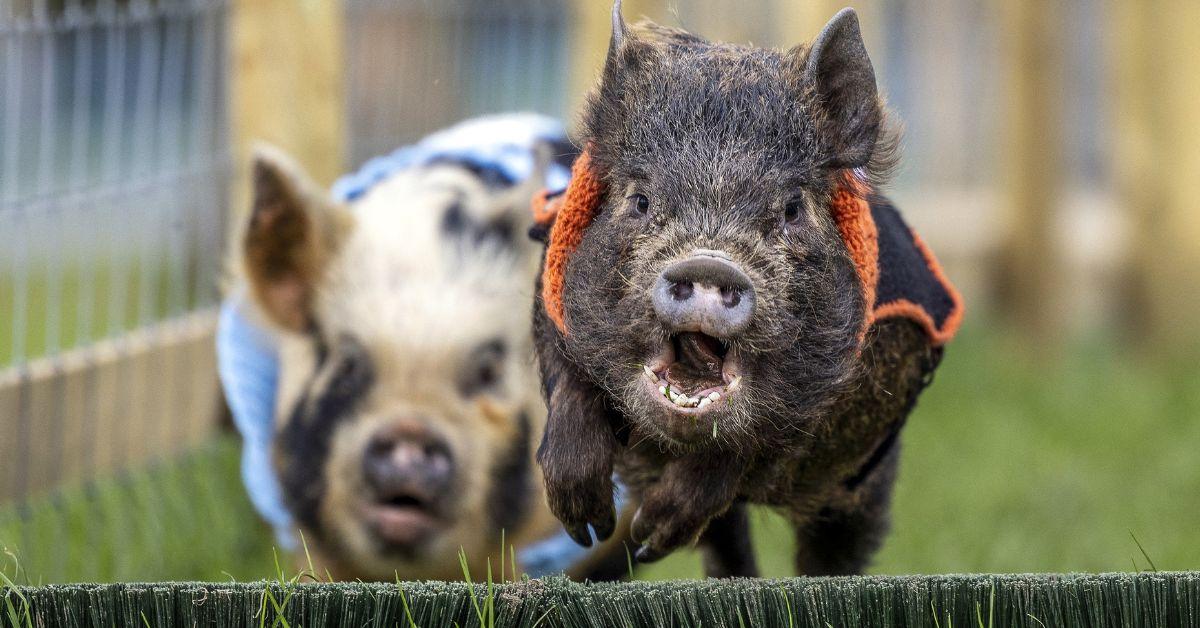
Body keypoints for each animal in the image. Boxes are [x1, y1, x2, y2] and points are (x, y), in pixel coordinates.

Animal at [531, 5, 962, 577]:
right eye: (641, 200)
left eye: (792, 209)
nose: (709, 262)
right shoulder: (547, 291)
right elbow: (569, 380)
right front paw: (587, 526)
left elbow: (761, 441)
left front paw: (644, 531)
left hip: (861, 495)